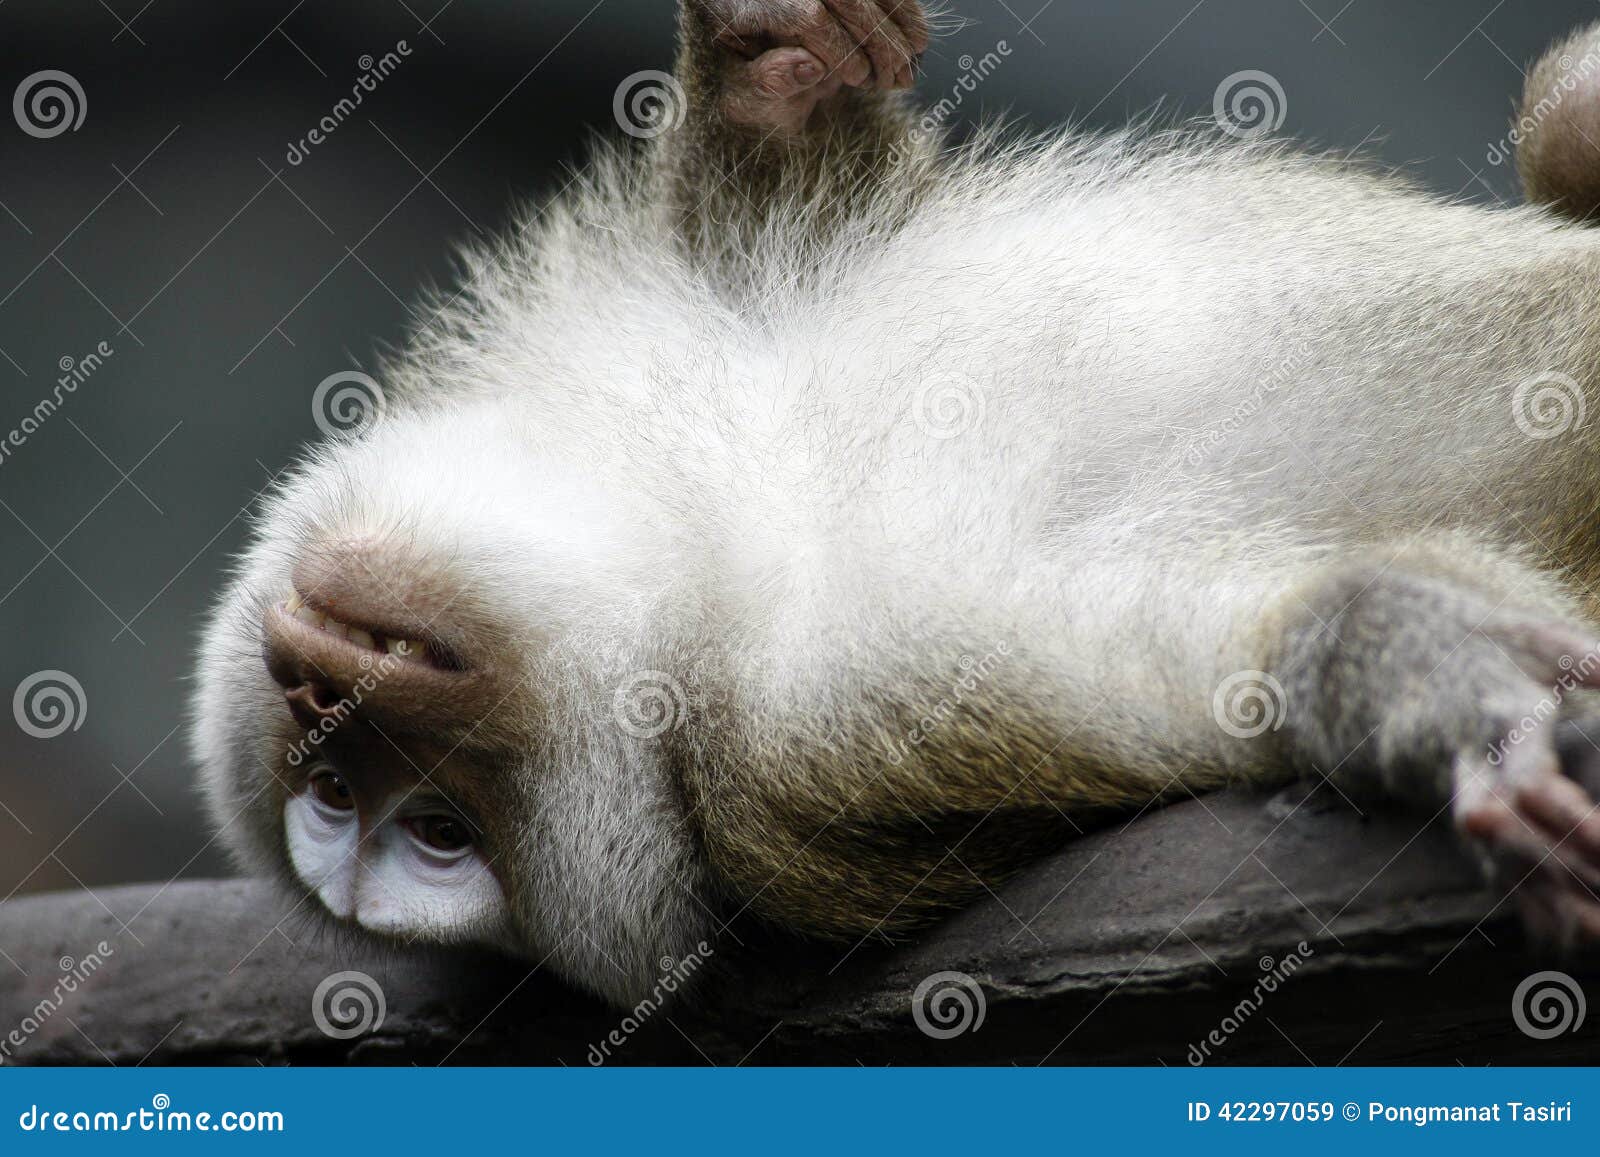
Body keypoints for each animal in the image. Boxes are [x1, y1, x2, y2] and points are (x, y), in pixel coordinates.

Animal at [193, 2, 1600, 1008]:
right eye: (426, 827)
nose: (326, 681)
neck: (726, 536)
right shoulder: (795, 748)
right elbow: (1220, 677)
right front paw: (1411, 667)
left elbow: (809, 190)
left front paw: (770, 63)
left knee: (1561, 129)